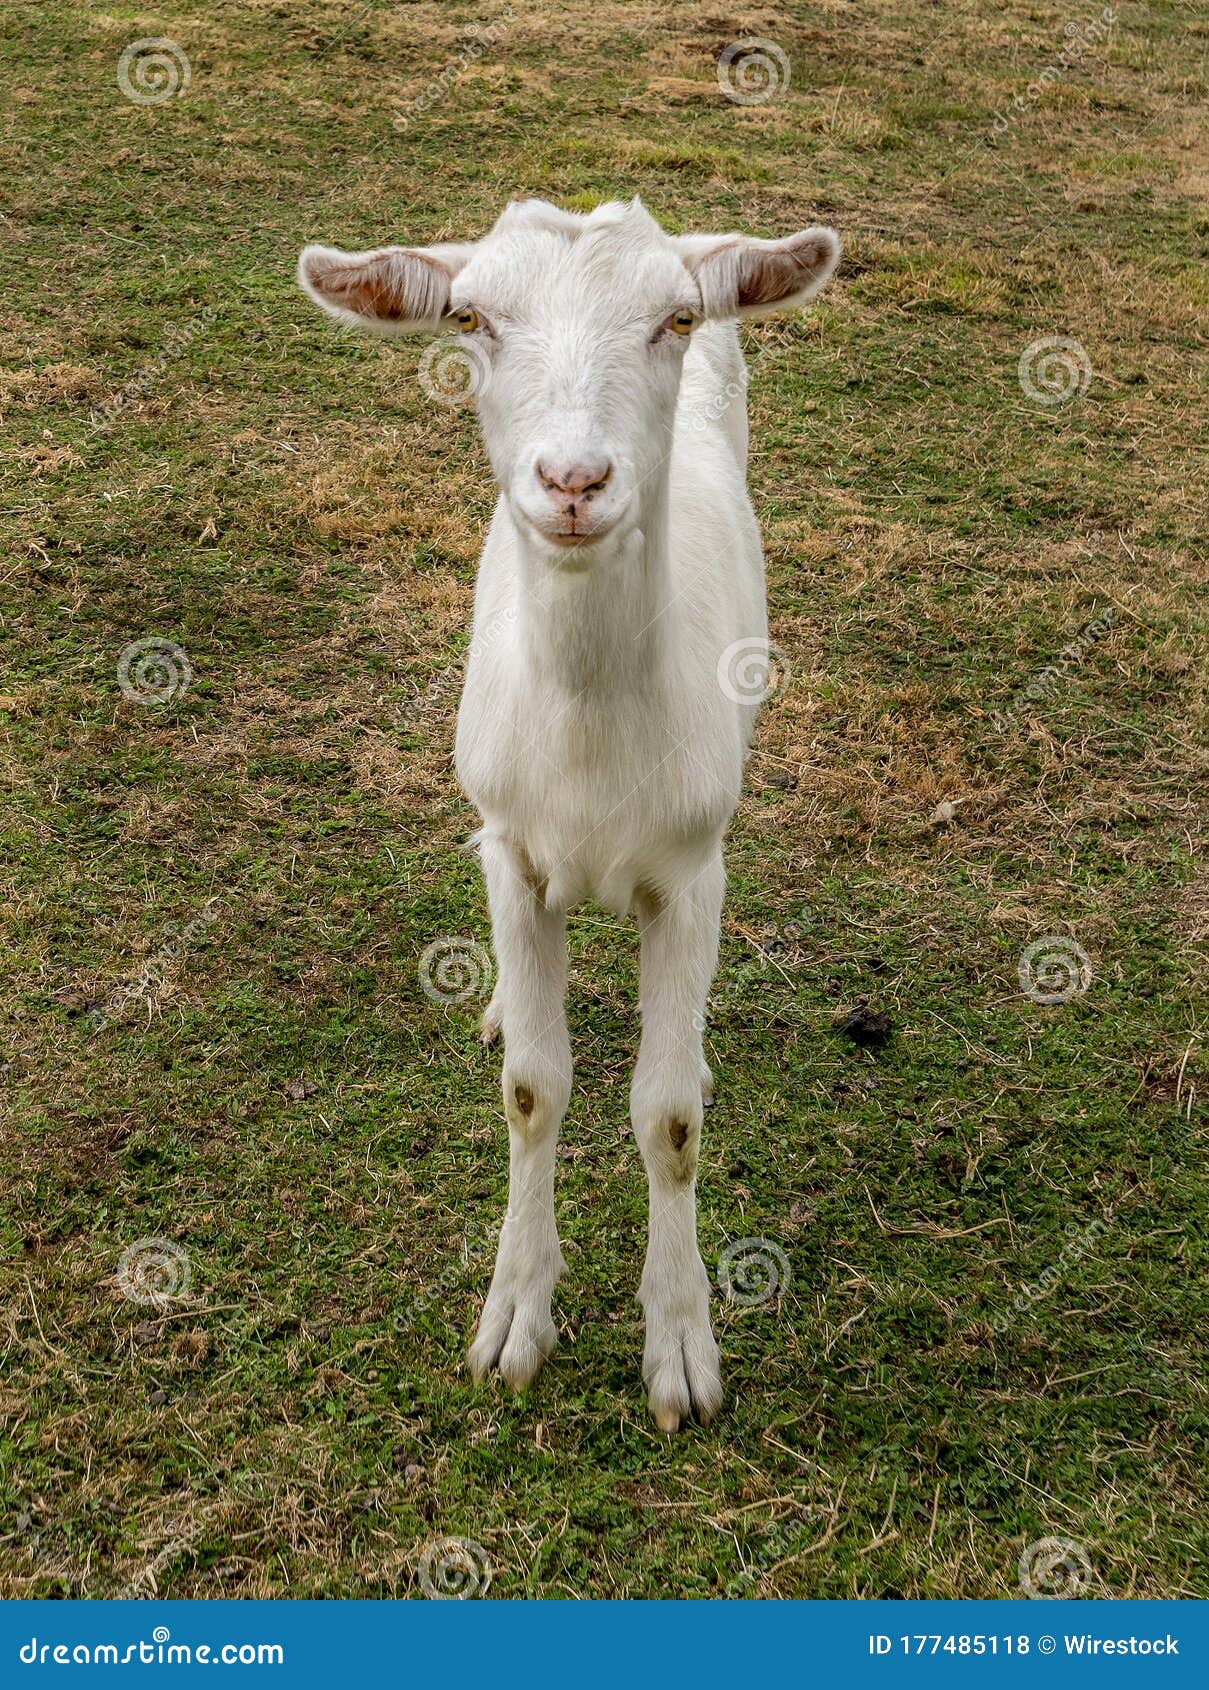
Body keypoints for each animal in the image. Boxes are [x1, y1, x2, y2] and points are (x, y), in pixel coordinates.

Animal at [298, 197, 841, 1430]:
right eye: (471, 319)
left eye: (675, 318)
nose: (575, 480)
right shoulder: (510, 848)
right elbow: (533, 1088)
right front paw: (513, 1324)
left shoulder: (692, 868)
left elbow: (669, 1114)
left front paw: (681, 1350)